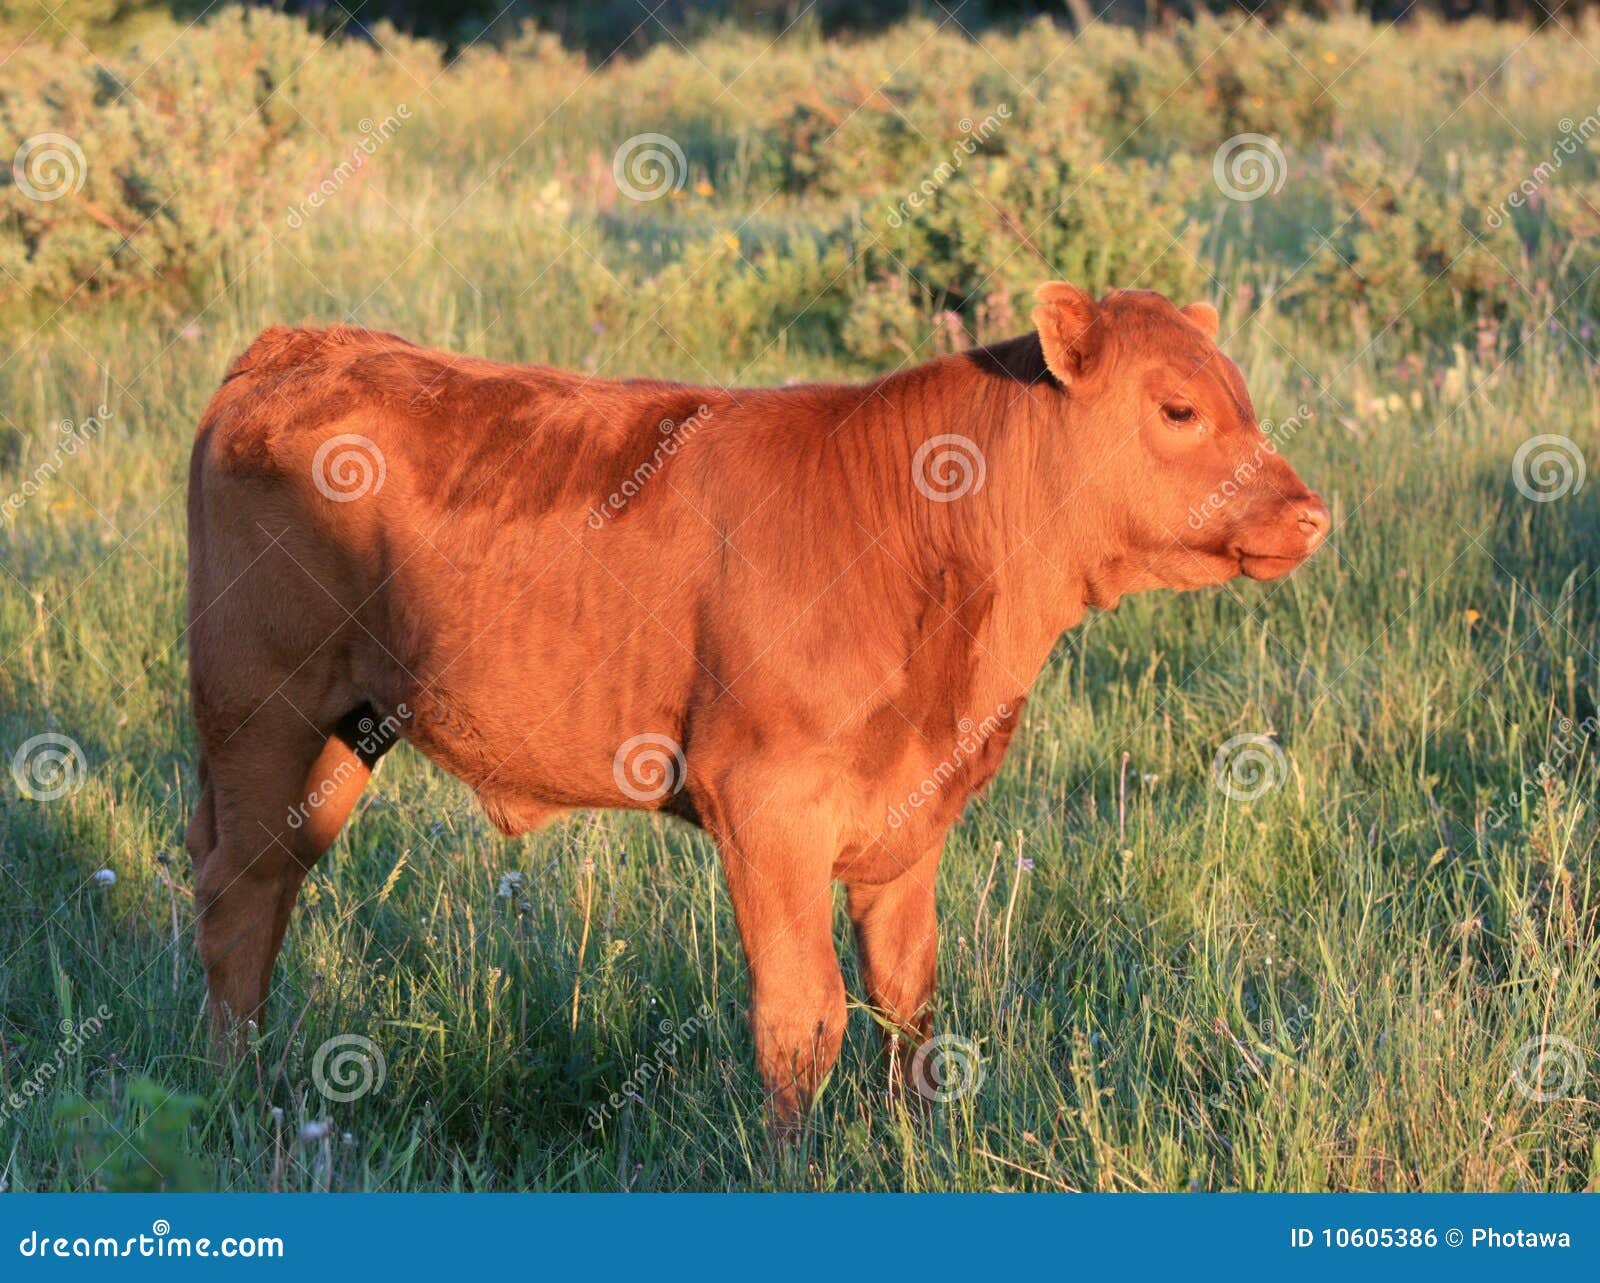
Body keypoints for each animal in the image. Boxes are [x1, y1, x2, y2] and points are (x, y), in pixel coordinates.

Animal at [185, 282, 1328, 1130]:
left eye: (1240, 396)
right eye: (1178, 407)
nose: (1311, 511)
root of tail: (303, 343)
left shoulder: (911, 811)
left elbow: (907, 997)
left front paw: (915, 1141)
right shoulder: (766, 801)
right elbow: (801, 1016)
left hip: (344, 732)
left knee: (270, 883)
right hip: (260, 708)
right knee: (240, 892)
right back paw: (238, 1095)